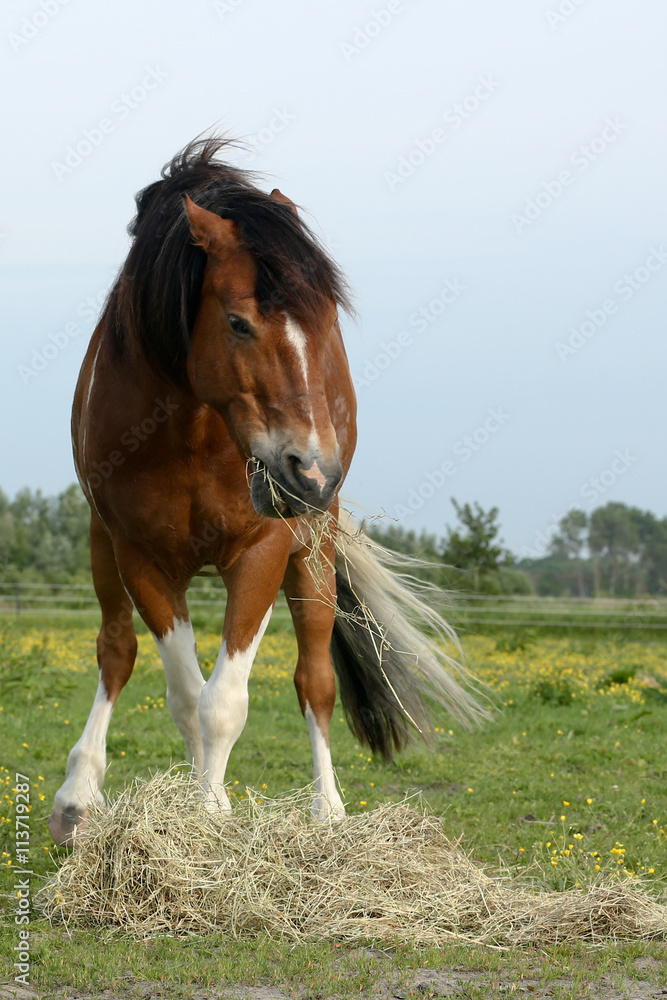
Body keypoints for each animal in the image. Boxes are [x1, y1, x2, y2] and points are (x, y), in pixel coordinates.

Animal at [49, 138, 485, 846]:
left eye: (328, 323)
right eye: (238, 323)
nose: (311, 470)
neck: (195, 432)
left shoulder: (263, 552)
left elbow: (224, 702)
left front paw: (209, 815)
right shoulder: (141, 557)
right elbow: (182, 693)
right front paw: (194, 812)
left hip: (314, 552)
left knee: (316, 680)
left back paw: (328, 812)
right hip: (102, 545)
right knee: (116, 651)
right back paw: (78, 797)